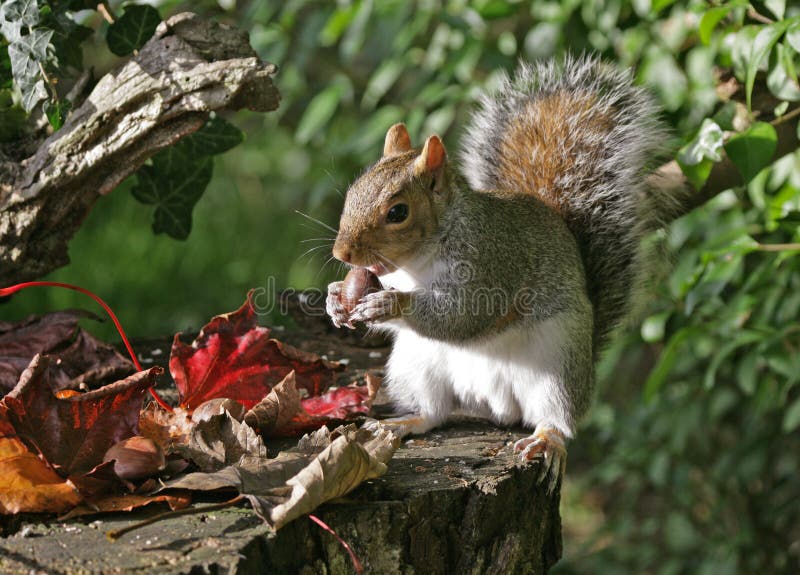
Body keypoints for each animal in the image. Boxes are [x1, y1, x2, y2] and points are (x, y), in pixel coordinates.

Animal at [325, 56, 670, 491]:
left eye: (398, 212)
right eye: (353, 192)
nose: (341, 252)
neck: (418, 261)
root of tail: (495, 406)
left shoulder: (491, 265)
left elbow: (465, 315)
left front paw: (390, 304)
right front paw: (335, 298)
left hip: (557, 367)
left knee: (556, 420)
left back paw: (545, 441)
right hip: (416, 365)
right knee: (434, 413)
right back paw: (403, 422)